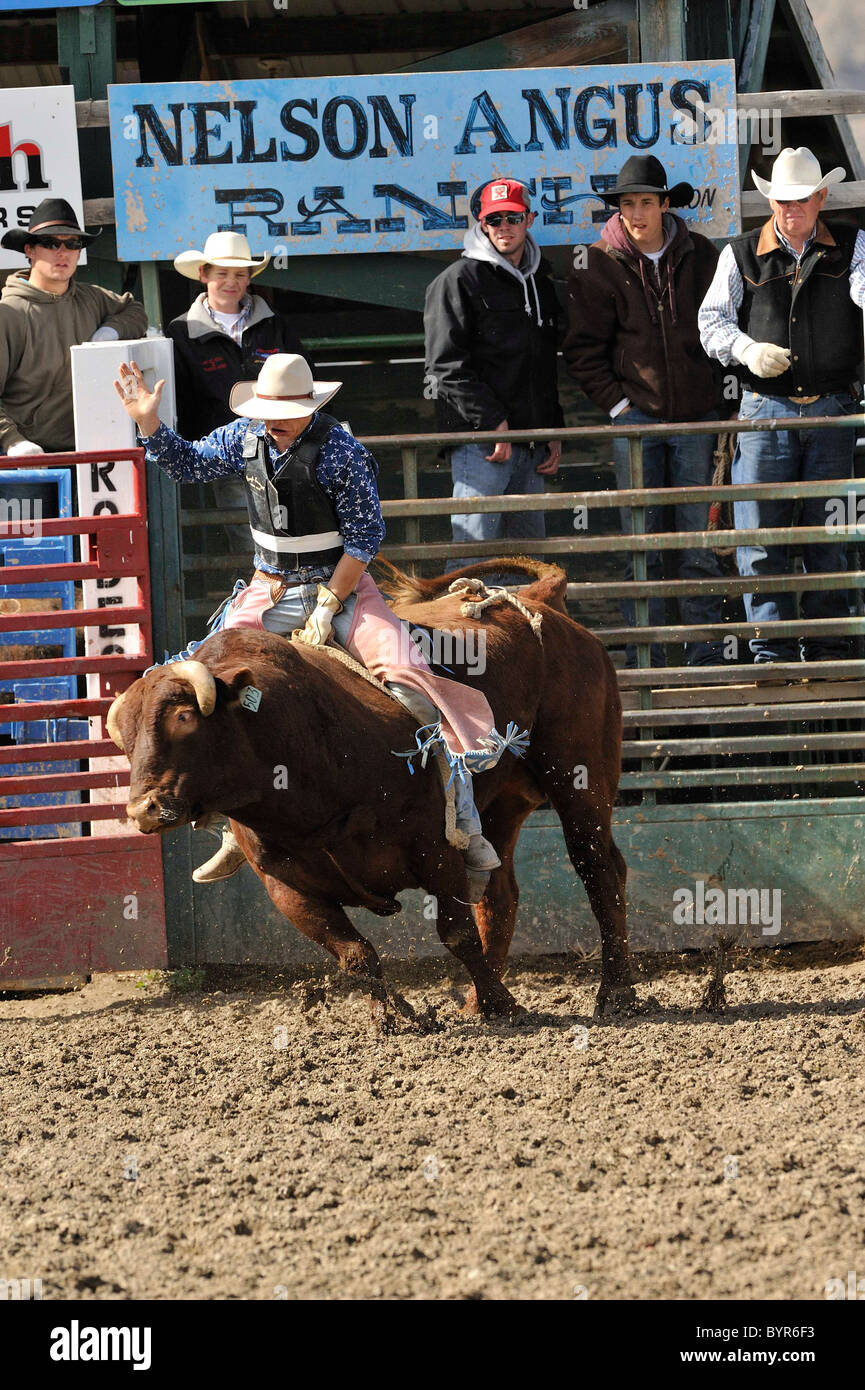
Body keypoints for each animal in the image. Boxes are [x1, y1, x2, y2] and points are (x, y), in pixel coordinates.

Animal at [107, 559, 637, 1025]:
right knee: (499, 891)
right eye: (127, 740)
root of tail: (539, 601)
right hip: (503, 803)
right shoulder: (285, 885)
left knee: (599, 869)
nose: (144, 808)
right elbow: (355, 954)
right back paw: (474, 1002)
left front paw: (502, 1004)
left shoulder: (434, 846)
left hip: (581, 776)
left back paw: (615, 994)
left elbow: (456, 933)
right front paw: (396, 1016)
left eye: (183, 717)